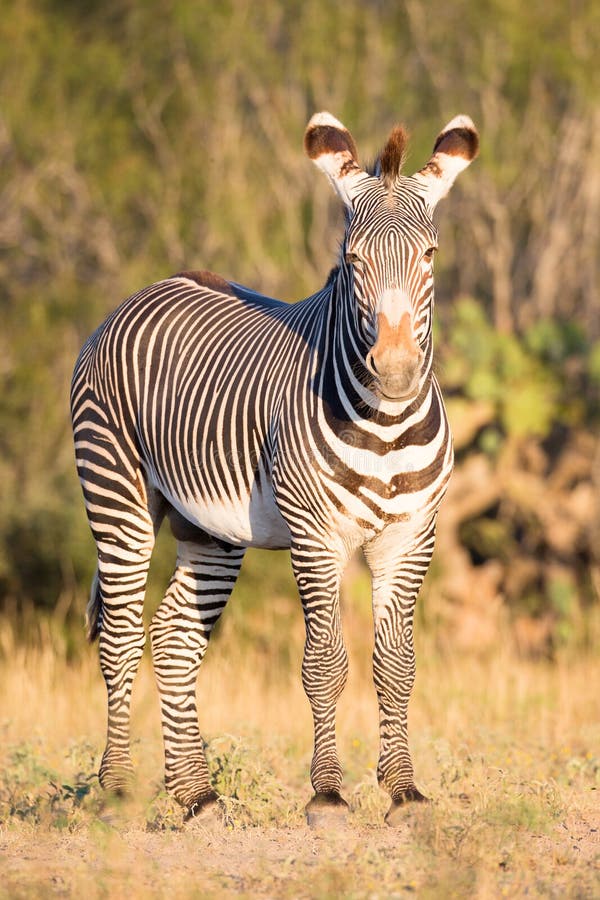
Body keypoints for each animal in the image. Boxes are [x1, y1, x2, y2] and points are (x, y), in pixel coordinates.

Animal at [70, 110, 478, 828]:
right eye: (351, 261)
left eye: (430, 255)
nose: (397, 371)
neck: (385, 424)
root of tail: (150, 287)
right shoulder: (316, 535)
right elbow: (325, 662)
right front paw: (329, 794)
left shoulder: (411, 537)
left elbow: (397, 665)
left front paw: (404, 791)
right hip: (117, 494)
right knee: (119, 637)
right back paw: (116, 791)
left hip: (208, 528)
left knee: (173, 640)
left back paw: (198, 796)